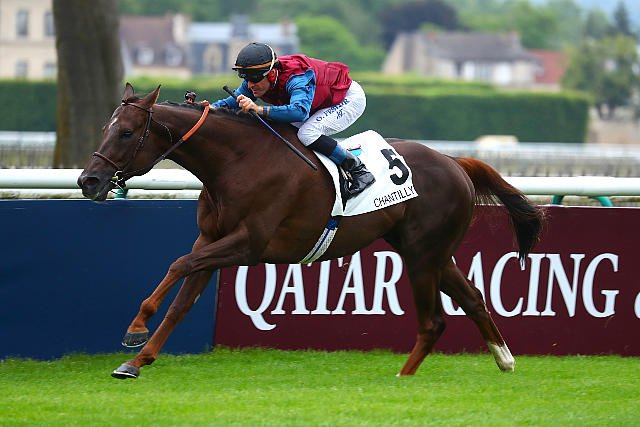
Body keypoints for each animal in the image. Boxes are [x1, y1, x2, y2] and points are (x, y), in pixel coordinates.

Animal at [78, 83, 544, 379]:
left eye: (126, 132)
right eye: (104, 129)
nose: (89, 181)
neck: (236, 161)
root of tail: (456, 162)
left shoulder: (247, 244)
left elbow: (178, 264)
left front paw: (136, 329)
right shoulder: (212, 240)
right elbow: (182, 300)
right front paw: (136, 361)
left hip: (422, 255)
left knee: (433, 322)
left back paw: (402, 378)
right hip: (429, 252)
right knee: (474, 298)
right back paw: (504, 360)